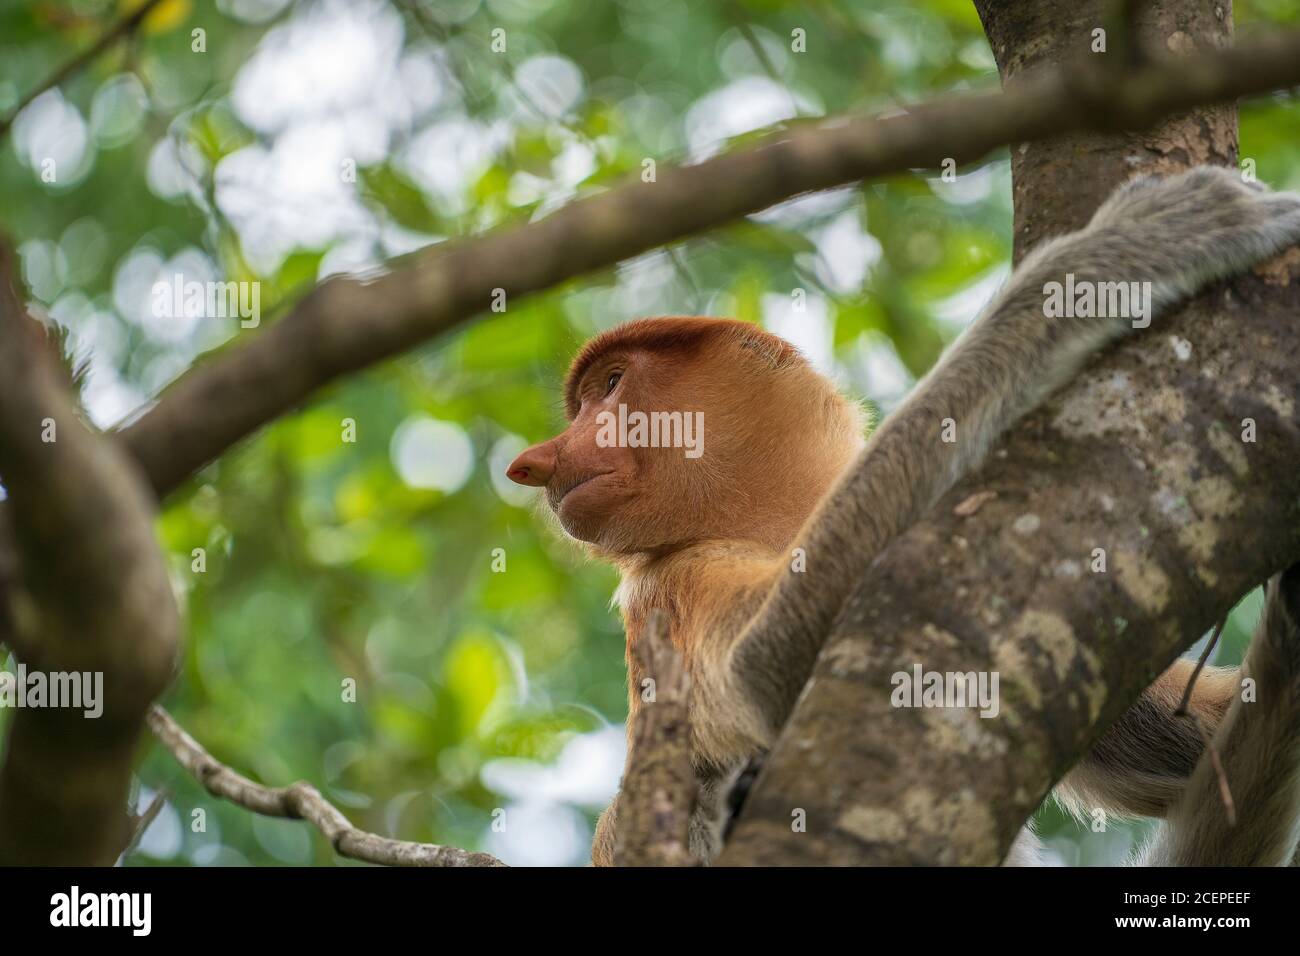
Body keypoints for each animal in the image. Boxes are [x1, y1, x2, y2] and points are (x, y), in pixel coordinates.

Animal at [505, 167, 1300, 865]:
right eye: (590, 395)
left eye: (611, 385)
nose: (538, 461)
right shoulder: (672, 583)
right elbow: (767, 662)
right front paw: (1113, 258)